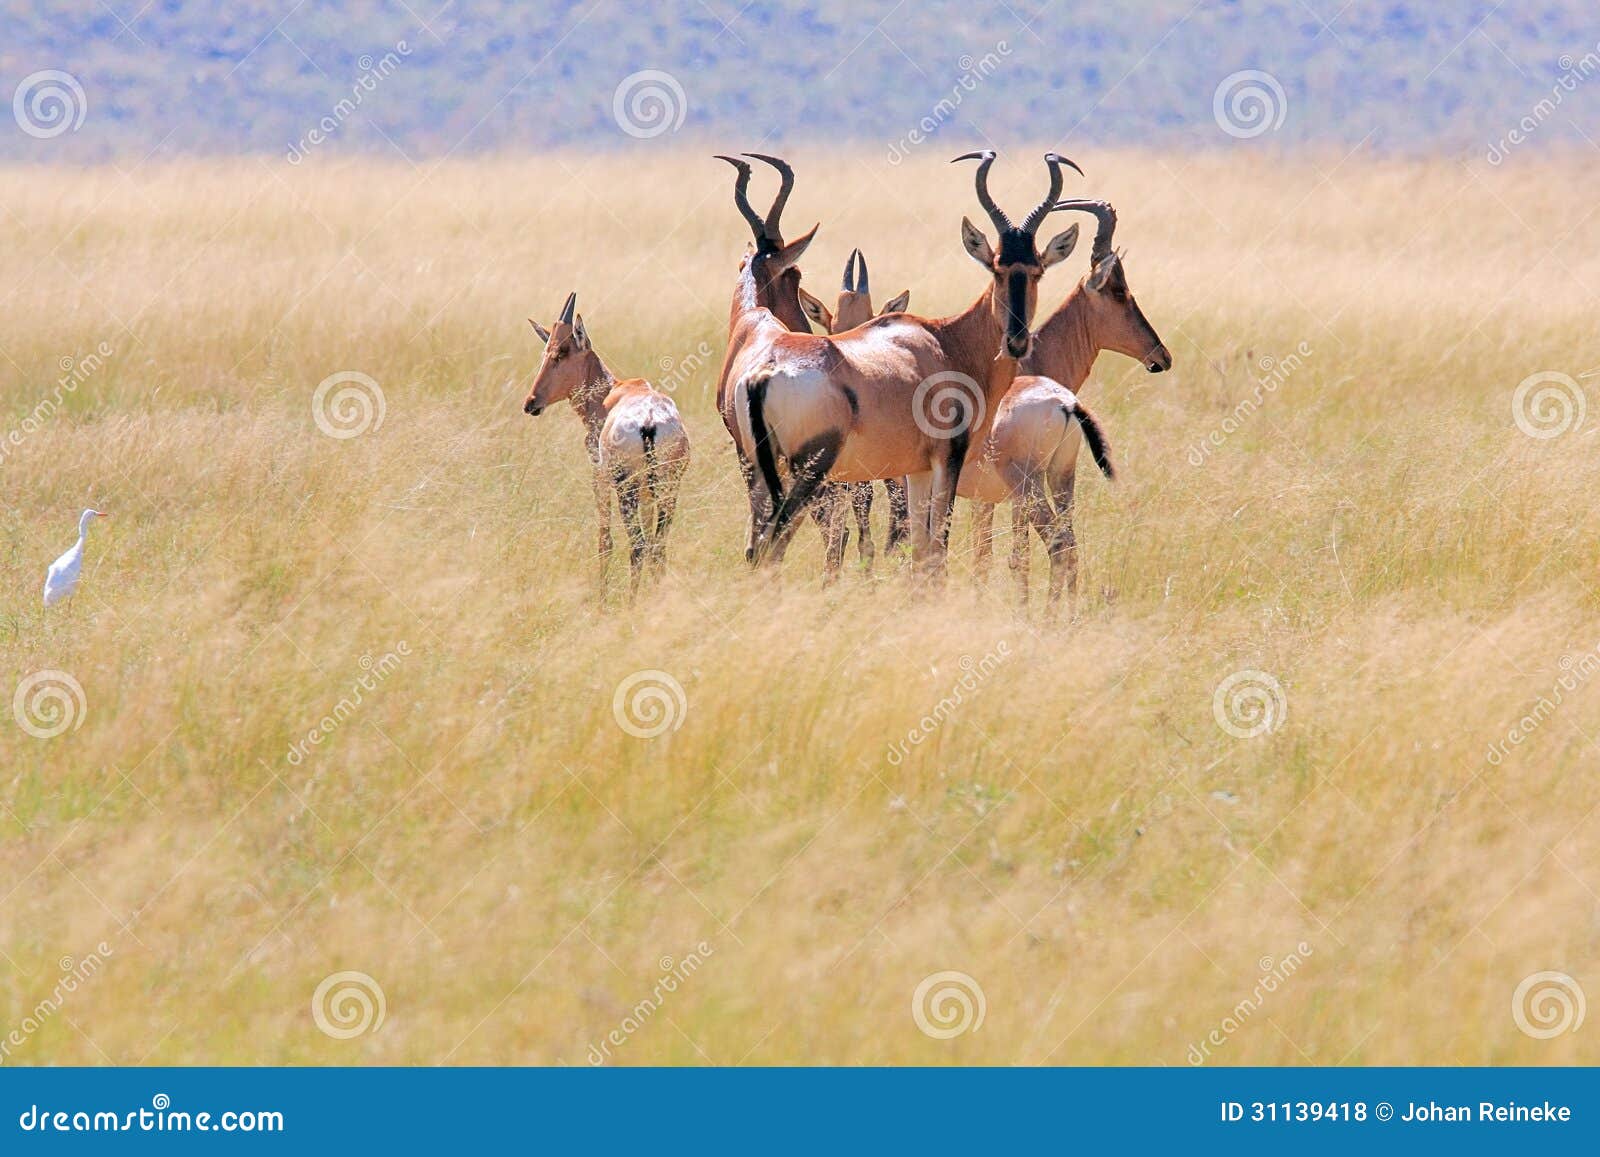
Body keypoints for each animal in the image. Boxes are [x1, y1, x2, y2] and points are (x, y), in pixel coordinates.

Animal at [523, 292, 691, 591]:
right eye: (546, 351)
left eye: (560, 353)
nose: (531, 403)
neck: (613, 393)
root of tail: (649, 420)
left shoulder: (599, 475)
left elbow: (604, 541)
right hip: (667, 486)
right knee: (657, 545)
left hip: (626, 487)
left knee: (638, 545)